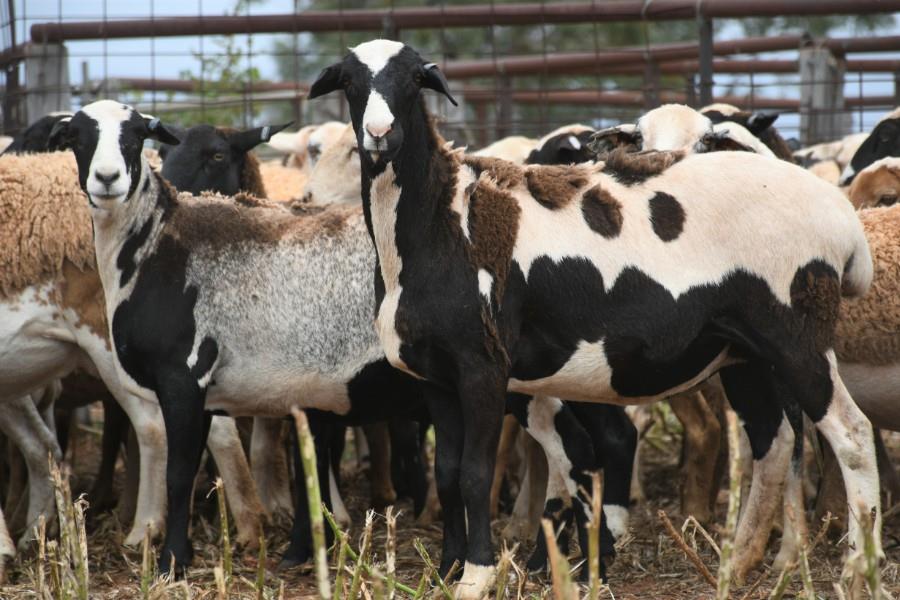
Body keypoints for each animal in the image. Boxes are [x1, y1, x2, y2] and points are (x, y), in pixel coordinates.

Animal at [309, 39, 879, 597]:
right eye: (351, 83)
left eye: (413, 81)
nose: (379, 135)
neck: (441, 220)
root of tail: (842, 218)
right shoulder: (435, 376)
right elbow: (447, 473)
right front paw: (447, 570)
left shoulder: (482, 367)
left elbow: (475, 473)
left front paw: (477, 576)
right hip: (743, 353)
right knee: (773, 440)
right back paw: (740, 564)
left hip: (797, 337)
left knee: (852, 437)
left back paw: (857, 569)